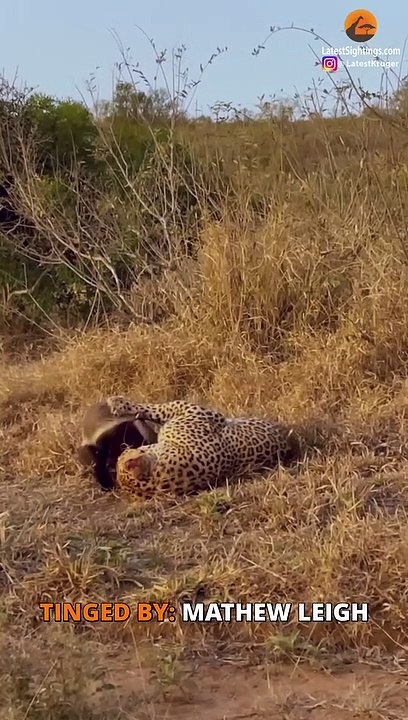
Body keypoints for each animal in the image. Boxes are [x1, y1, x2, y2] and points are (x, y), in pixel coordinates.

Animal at [105, 396, 303, 500]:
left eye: (122, 455)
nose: (124, 448)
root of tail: (288, 445)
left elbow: (154, 409)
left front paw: (121, 406)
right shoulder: (192, 410)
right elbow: (156, 408)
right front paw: (119, 404)